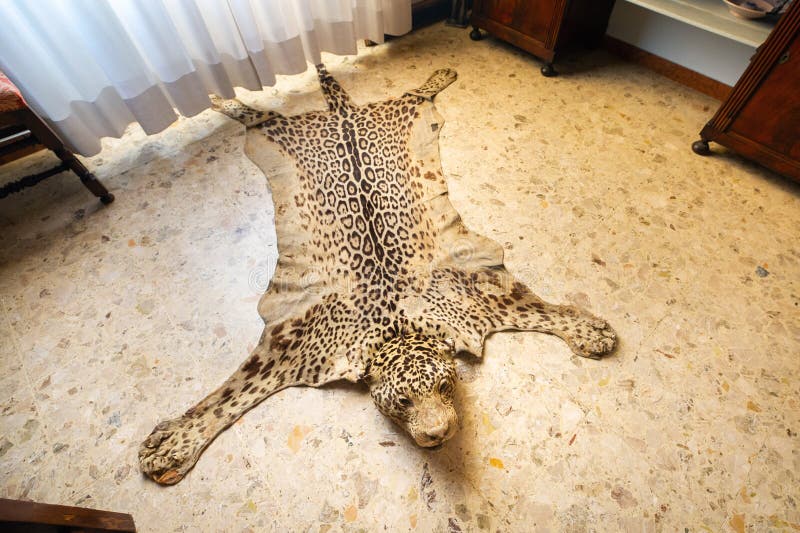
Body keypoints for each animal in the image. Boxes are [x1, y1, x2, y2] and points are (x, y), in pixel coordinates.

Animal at [138, 64, 616, 485]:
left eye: (446, 386)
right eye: (403, 400)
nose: (439, 432)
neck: (398, 328)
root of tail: (343, 114)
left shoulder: (483, 290)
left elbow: (543, 311)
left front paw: (590, 330)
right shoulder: (284, 350)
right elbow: (225, 400)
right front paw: (173, 443)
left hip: (393, 112)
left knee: (415, 94)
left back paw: (441, 74)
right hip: (282, 130)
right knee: (260, 114)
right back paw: (222, 100)